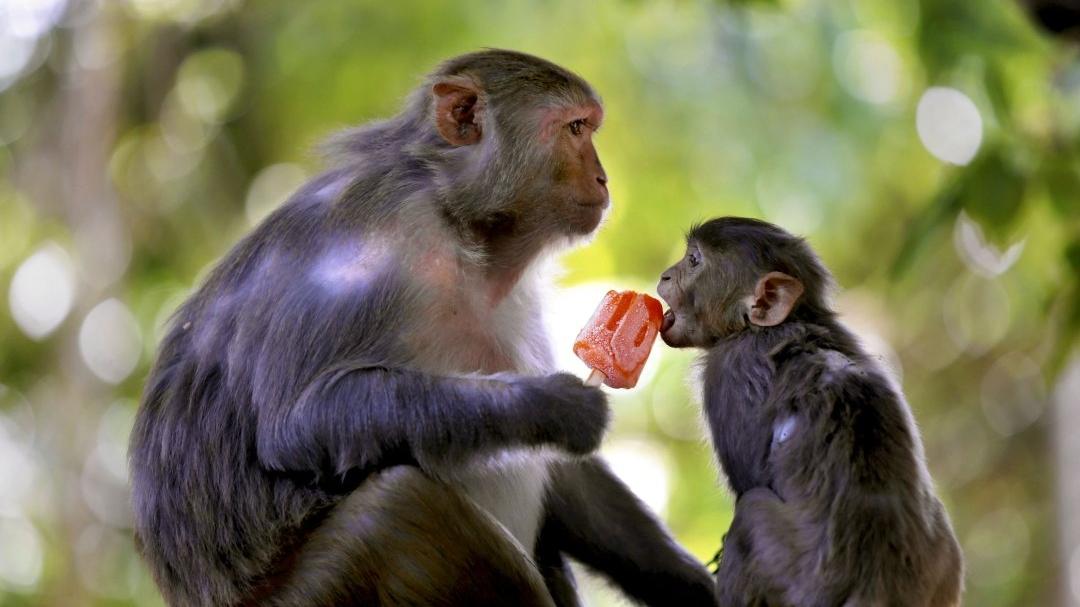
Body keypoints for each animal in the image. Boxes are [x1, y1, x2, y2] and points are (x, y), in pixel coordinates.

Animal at [129, 50, 715, 607]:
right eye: (575, 129)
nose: (603, 178)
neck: (458, 224)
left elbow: (563, 472)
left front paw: (690, 585)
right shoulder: (369, 238)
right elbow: (298, 421)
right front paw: (555, 405)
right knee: (396, 507)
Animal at [656, 217, 963, 607]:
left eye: (694, 260)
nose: (666, 275)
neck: (774, 324)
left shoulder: (729, 368)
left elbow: (749, 480)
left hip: (792, 580)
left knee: (752, 513)